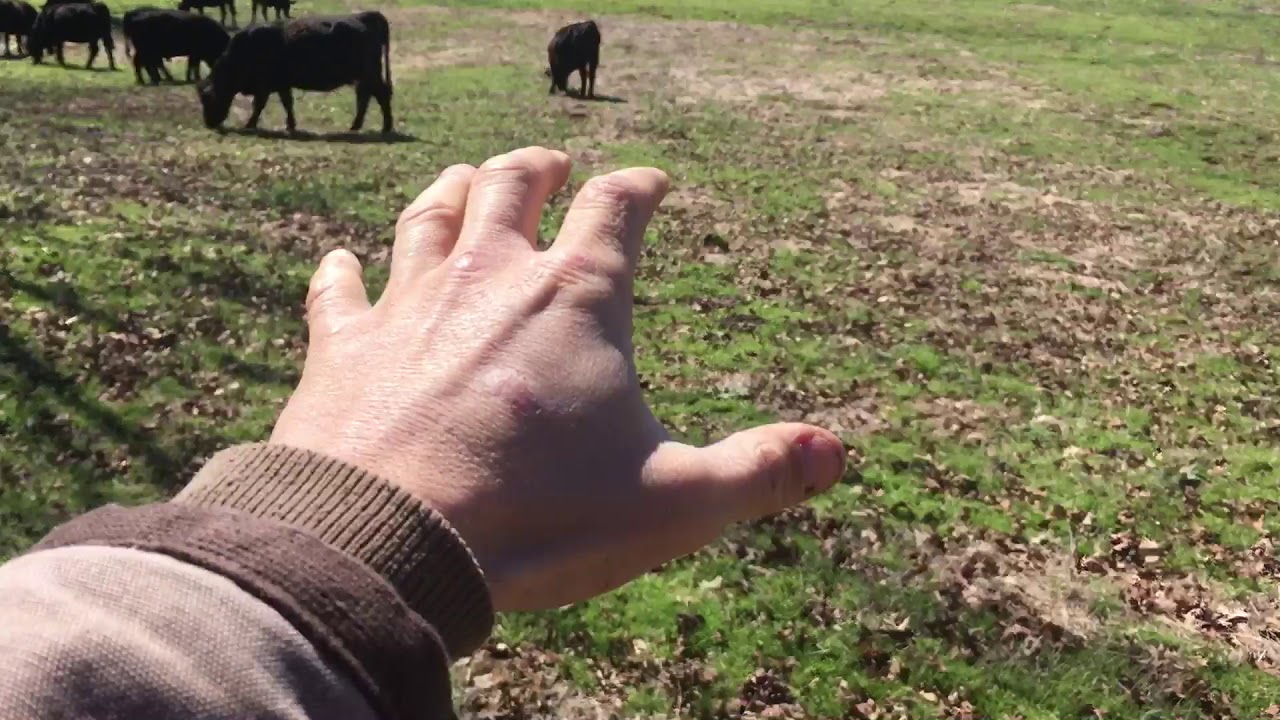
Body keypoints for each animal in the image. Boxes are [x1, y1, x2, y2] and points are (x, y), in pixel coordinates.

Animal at [197, 11, 393, 134]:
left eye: (208, 98)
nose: (208, 123)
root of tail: (365, 15)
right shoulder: (282, 84)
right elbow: (287, 103)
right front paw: (290, 125)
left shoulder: (264, 86)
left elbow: (259, 105)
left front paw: (249, 124)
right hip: (363, 77)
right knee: (365, 97)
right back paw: (356, 126)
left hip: (369, 74)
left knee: (381, 95)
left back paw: (386, 127)